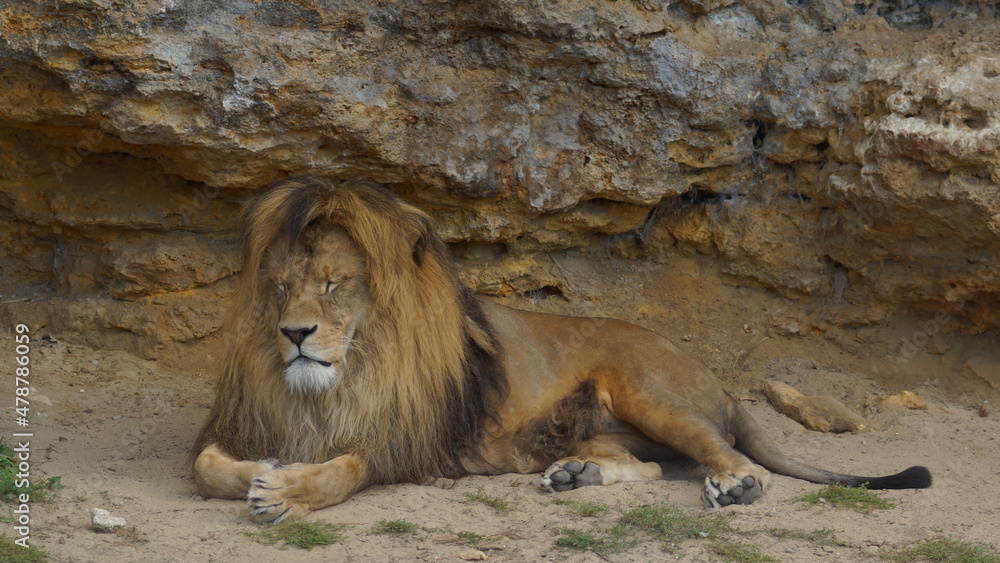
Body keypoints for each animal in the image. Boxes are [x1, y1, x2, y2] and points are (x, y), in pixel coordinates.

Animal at [192, 176, 931, 523]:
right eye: (281, 288)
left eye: (333, 284)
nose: (293, 334)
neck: (340, 380)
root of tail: (715, 377)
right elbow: (207, 467)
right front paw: (264, 468)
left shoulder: (407, 441)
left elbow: (343, 471)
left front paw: (284, 490)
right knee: (651, 466)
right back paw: (575, 475)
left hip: (647, 392)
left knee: (732, 459)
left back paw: (736, 485)